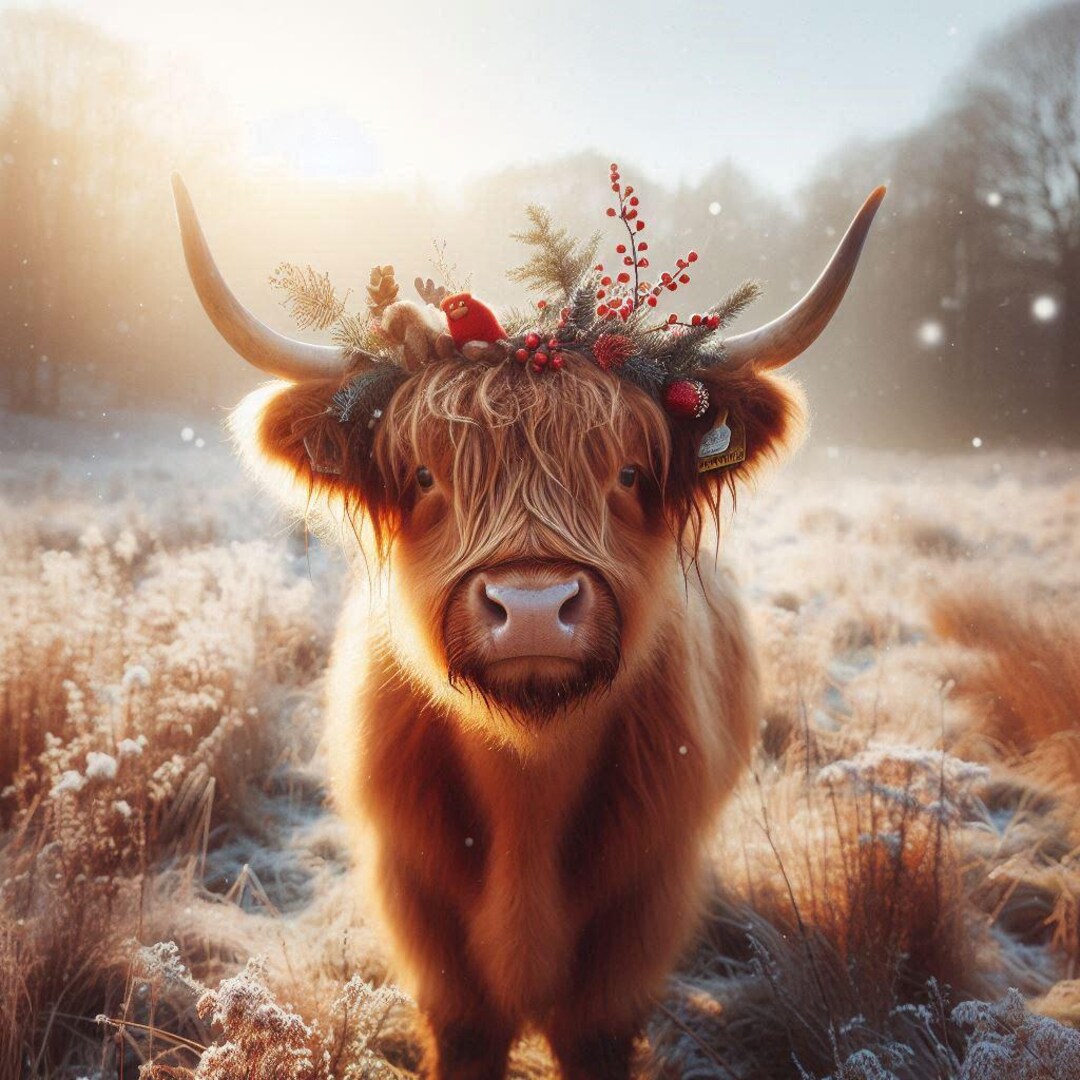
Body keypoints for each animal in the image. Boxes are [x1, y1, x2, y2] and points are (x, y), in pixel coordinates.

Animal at [173, 175, 884, 1079]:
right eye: (423, 475)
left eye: (629, 473)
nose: (536, 608)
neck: (527, 791)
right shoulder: (420, 911)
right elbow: (466, 1031)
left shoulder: (642, 911)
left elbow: (595, 1034)